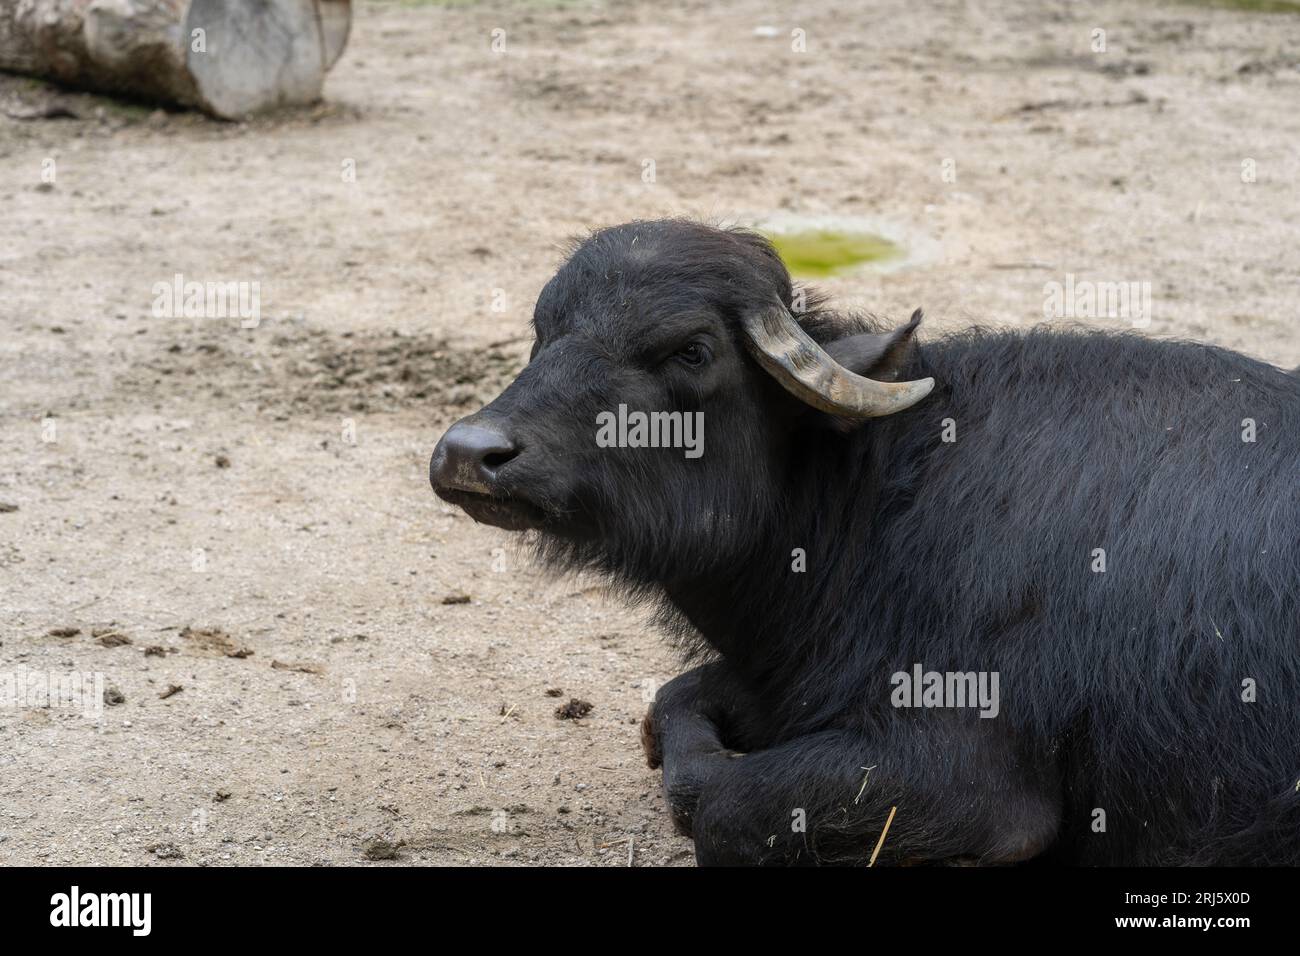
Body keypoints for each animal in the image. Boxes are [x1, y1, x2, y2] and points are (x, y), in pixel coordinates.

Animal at [430, 219, 1299, 865]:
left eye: (691, 350)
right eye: (544, 333)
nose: (471, 453)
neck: (874, 495)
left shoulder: (963, 778)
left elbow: (720, 804)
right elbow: (674, 701)